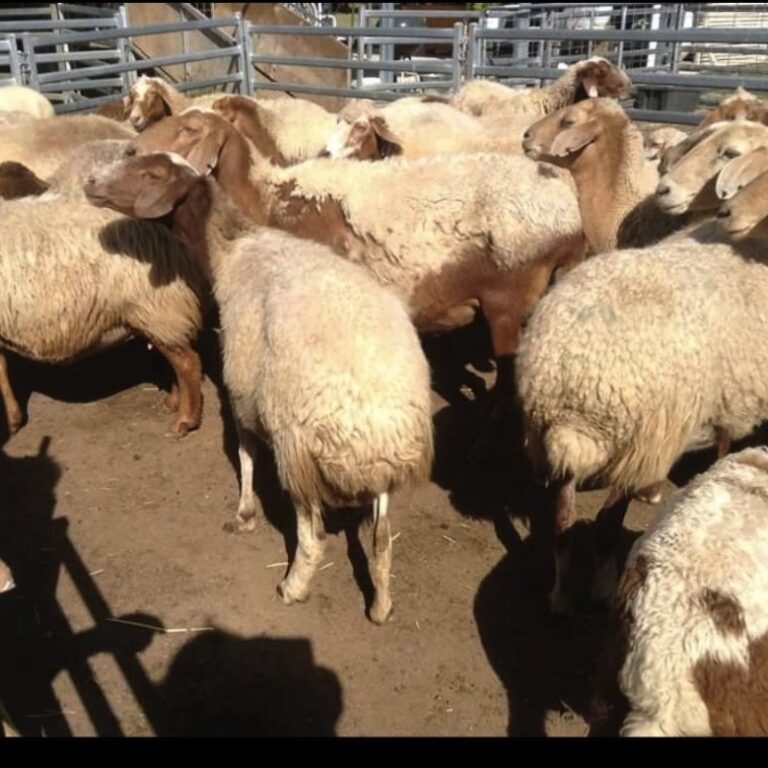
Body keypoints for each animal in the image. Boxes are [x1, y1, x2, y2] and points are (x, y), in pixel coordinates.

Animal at [0, 194, 207, 437]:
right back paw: (173, 403)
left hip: (158, 312)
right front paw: (12, 420)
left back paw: (184, 421)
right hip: (158, 317)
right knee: (174, 362)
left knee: (188, 364)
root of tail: (170, 241)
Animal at [85, 151, 434, 624]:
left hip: (297, 448)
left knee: (313, 535)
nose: (90, 181)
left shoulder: (241, 385)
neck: (232, 249)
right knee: (381, 542)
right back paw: (380, 606)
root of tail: (379, 428)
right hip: (381, 475)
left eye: (151, 174)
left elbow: (245, 451)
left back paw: (293, 586)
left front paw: (244, 513)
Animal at [130, 109, 585, 422]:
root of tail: (570, 217)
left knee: (506, 391)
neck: (267, 198)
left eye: (190, 129)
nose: (131, 149)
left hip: (508, 303)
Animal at [517, 219, 768, 616]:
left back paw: (560, 597)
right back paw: (604, 585)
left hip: (553, 439)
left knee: (561, 525)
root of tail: (566, 378)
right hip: (639, 440)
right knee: (605, 524)